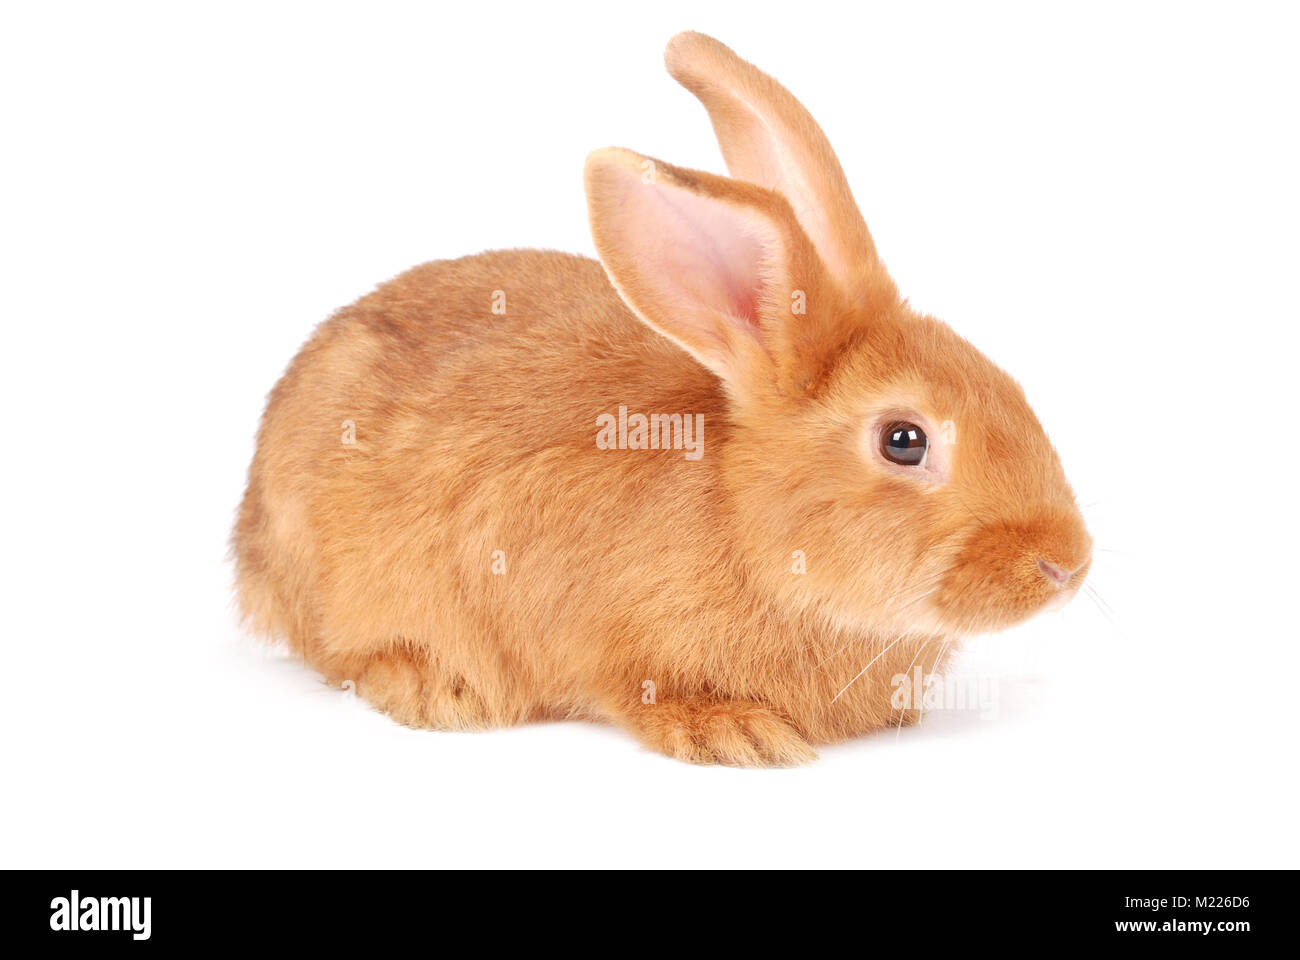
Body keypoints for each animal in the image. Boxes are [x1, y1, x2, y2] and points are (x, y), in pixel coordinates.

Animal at [233, 31, 1092, 766]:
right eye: (904, 440)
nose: (1066, 565)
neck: (747, 518)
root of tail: (251, 542)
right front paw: (733, 731)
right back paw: (432, 687)